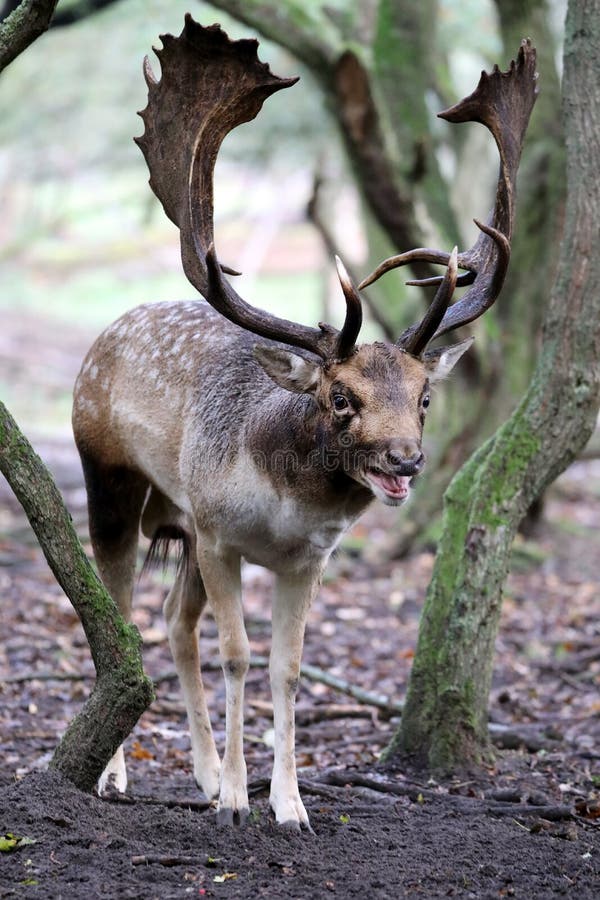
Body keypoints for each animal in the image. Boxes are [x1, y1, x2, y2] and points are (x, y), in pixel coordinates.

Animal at [72, 16, 537, 831]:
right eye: (341, 396)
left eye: (424, 396)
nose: (405, 459)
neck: (282, 506)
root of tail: (101, 339)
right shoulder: (220, 535)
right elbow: (238, 655)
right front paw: (237, 802)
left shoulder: (304, 560)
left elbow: (286, 670)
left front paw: (287, 805)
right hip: (112, 481)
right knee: (122, 617)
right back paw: (118, 777)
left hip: (179, 523)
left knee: (174, 619)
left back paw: (199, 773)